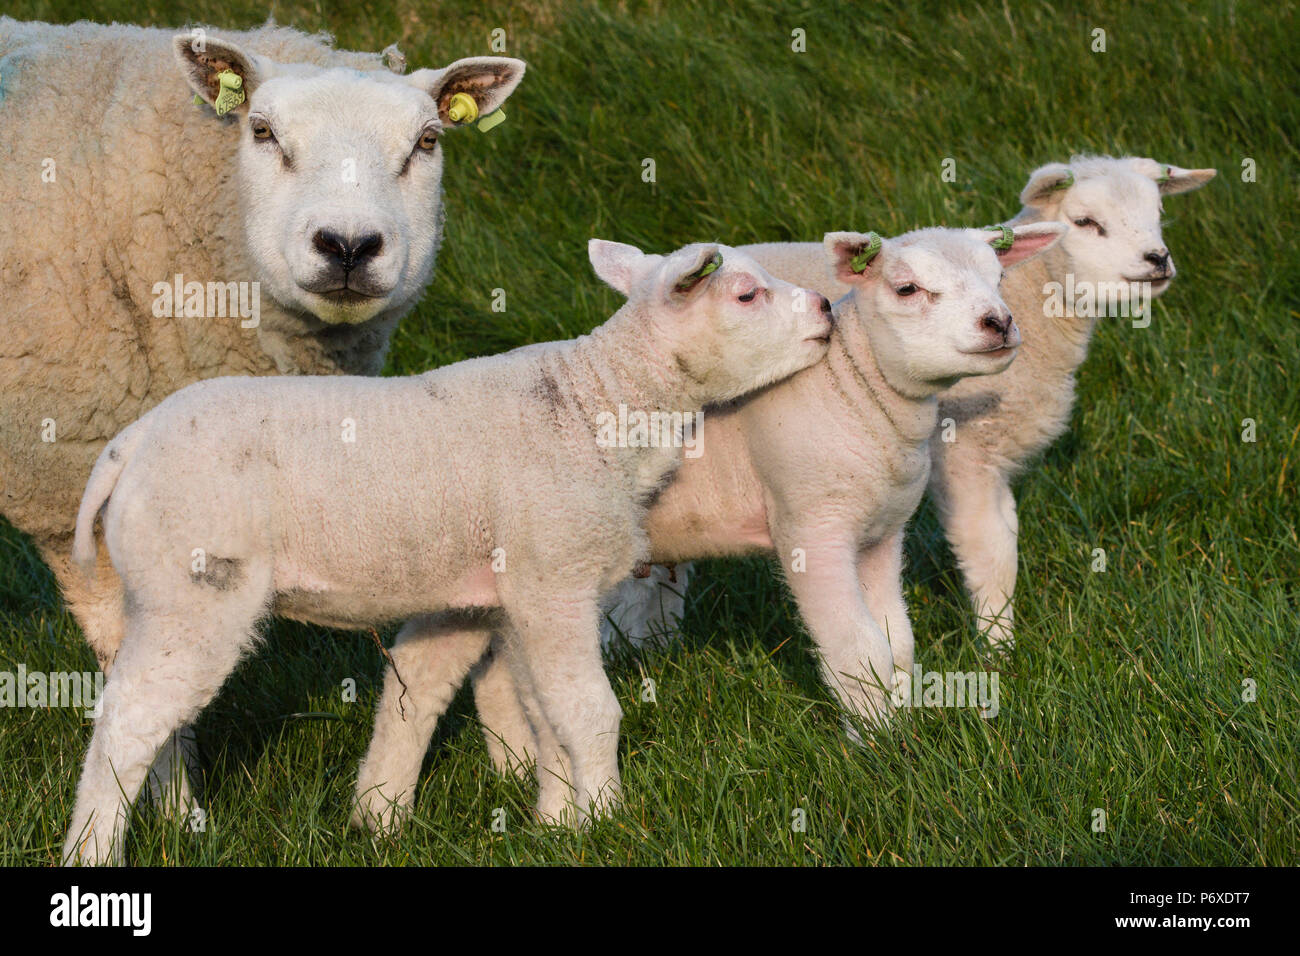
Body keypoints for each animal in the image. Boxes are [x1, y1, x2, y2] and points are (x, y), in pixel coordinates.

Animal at [0, 17, 523, 808]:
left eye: (427, 141)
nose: (348, 246)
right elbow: (137, 667)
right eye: (264, 131)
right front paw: (177, 811)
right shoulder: (73, 491)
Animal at [61, 239, 833, 864]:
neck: (601, 403)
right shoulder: (556, 577)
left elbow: (532, 712)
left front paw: (554, 823)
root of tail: (127, 448)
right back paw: (92, 852)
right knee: (130, 718)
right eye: (746, 294)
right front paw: (608, 819)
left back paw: (177, 822)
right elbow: (588, 709)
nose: (827, 307)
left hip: (163, 592)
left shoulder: (498, 593)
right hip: (196, 585)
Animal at [353, 223, 1064, 805]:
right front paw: (880, 750)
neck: (859, 391)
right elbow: (857, 649)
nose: (998, 324)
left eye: (1000, 278)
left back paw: (499, 773)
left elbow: (899, 643)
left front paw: (902, 723)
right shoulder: (812, 527)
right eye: (908, 287)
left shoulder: (881, 535)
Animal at [603, 155, 1216, 652]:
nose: (1157, 259)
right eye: (1087, 222)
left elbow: (1006, 540)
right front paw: (999, 648)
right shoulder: (966, 455)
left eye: (1159, 212)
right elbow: (989, 550)